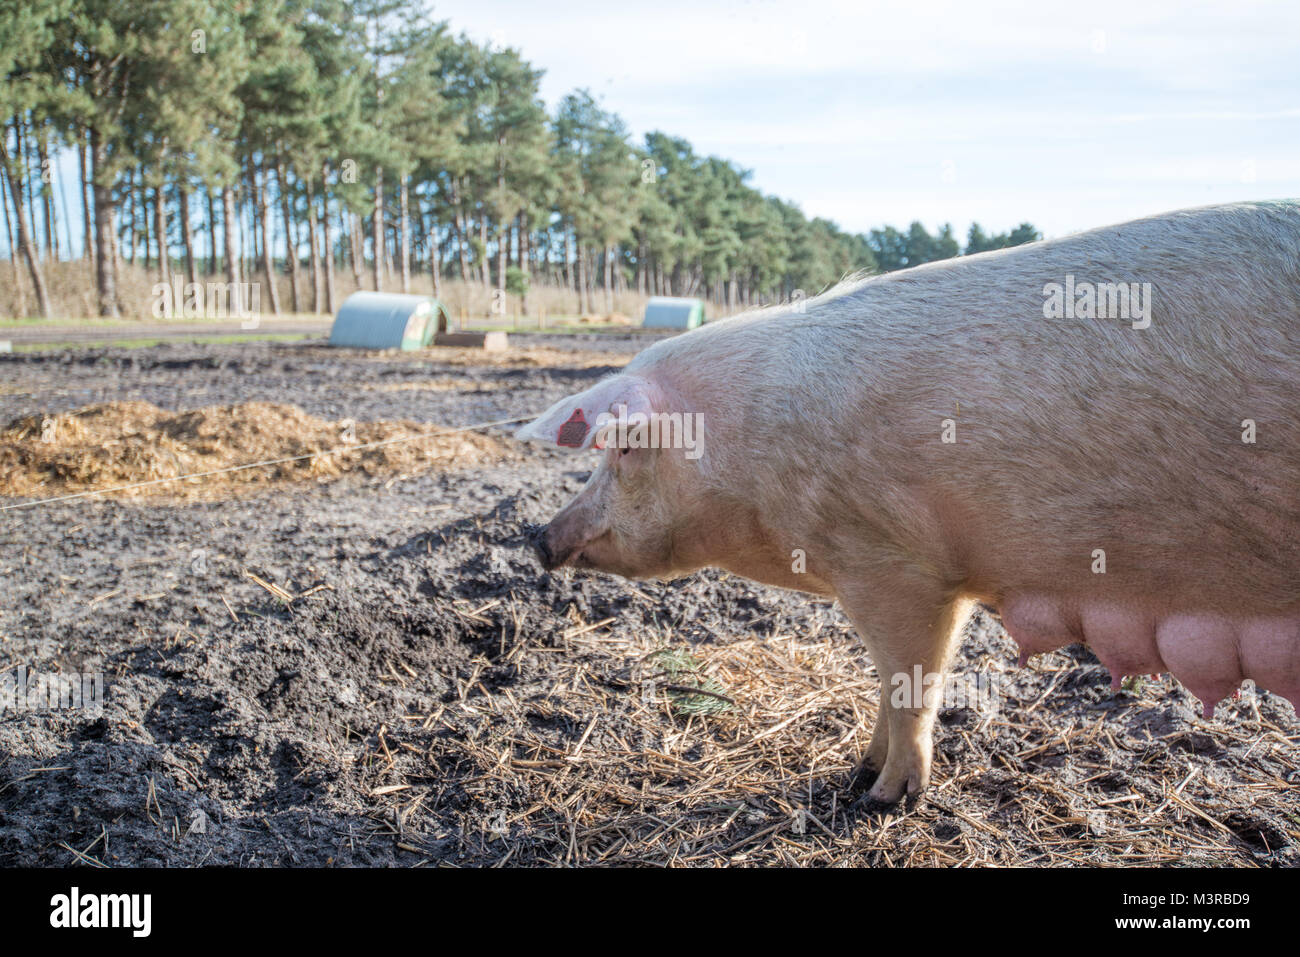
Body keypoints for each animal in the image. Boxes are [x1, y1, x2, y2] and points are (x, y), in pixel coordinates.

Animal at [516, 200, 1300, 804]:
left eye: (623, 451)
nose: (538, 537)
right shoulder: (920, 576)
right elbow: (890, 681)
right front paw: (856, 771)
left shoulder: (897, 564)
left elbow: (910, 682)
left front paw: (884, 798)